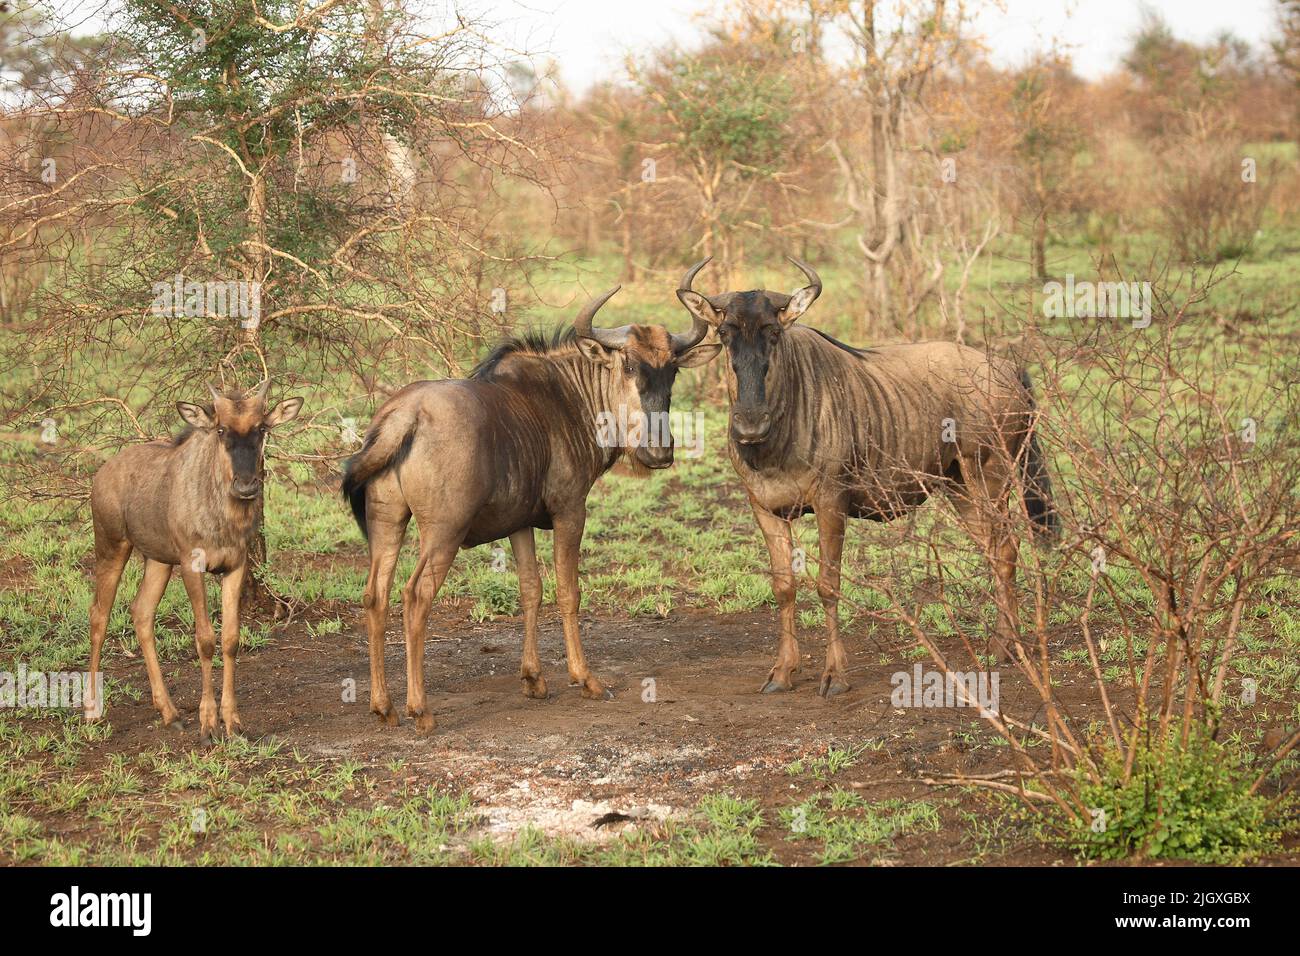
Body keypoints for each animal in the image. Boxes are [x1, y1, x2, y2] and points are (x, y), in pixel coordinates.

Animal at [85, 381, 303, 743]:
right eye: (220, 429)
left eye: (262, 428)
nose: (246, 485)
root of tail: (103, 471)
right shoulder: (192, 566)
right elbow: (205, 640)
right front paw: (208, 725)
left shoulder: (235, 567)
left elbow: (230, 639)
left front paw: (233, 723)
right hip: (112, 547)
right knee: (99, 616)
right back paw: (92, 713)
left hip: (158, 561)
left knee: (141, 613)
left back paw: (170, 713)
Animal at [341, 287, 719, 732]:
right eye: (628, 366)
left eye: (672, 370)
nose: (658, 452)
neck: (569, 398)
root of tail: (405, 415)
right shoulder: (570, 513)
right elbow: (569, 592)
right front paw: (586, 678)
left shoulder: (518, 524)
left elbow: (531, 590)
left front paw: (533, 678)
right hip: (443, 533)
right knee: (415, 597)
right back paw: (421, 709)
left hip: (388, 523)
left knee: (375, 596)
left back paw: (384, 706)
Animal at [675, 257, 1056, 695]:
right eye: (724, 334)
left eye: (773, 332)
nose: (749, 425)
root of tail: (1007, 368)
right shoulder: (765, 508)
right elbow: (784, 587)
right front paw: (782, 672)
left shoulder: (830, 502)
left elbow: (828, 584)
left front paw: (835, 676)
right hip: (960, 487)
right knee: (996, 550)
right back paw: (1002, 645)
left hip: (990, 479)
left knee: (1006, 549)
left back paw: (1005, 648)